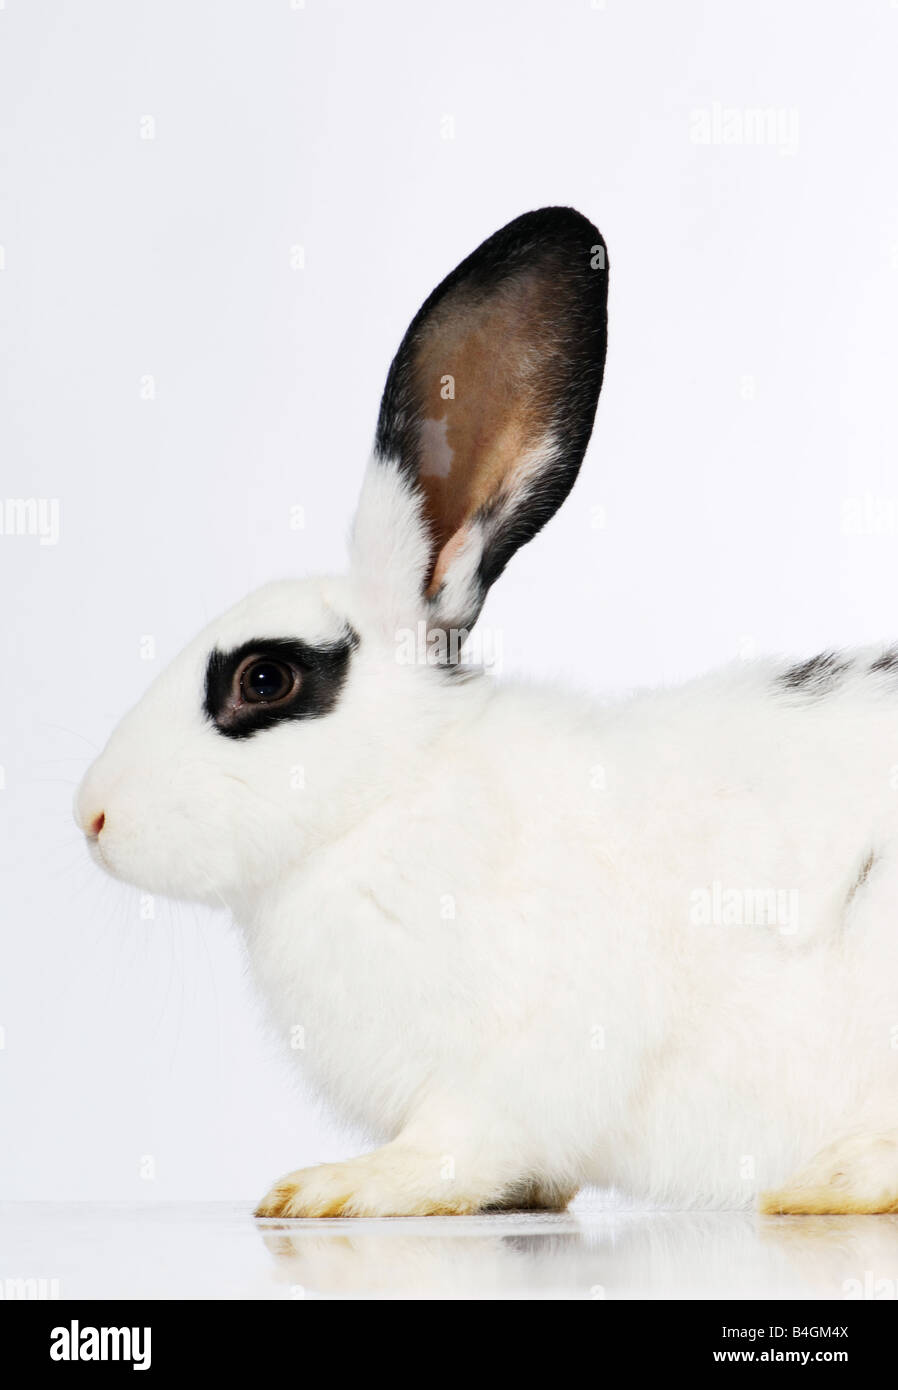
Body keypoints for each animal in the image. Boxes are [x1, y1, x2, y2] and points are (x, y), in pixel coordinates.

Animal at [75, 207, 898, 1218]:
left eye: (264, 680)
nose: (91, 817)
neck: (393, 801)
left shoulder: (515, 1060)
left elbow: (455, 1147)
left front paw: (336, 1186)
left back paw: (835, 1178)